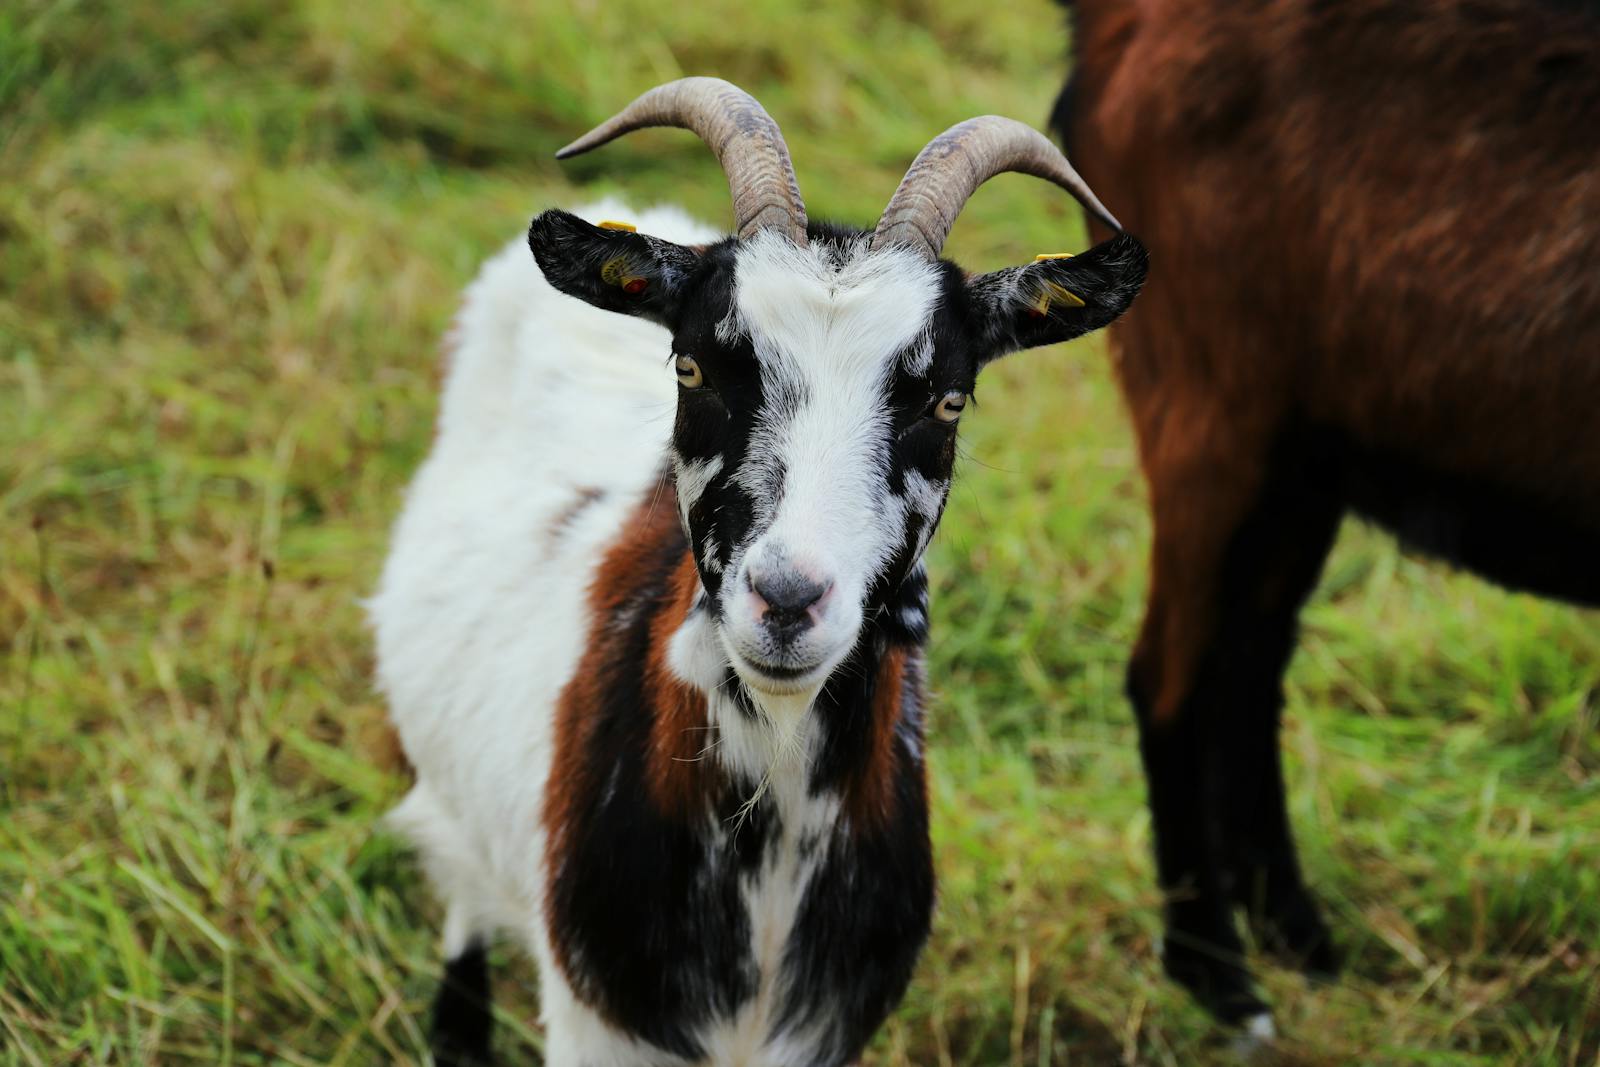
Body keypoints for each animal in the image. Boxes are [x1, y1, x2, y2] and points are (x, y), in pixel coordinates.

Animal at [1052, 0, 1600, 1032]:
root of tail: (1109, 25)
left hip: (1307, 450)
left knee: (1247, 665)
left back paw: (1296, 934)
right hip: (1206, 398)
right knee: (1169, 677)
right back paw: (1220, 977)